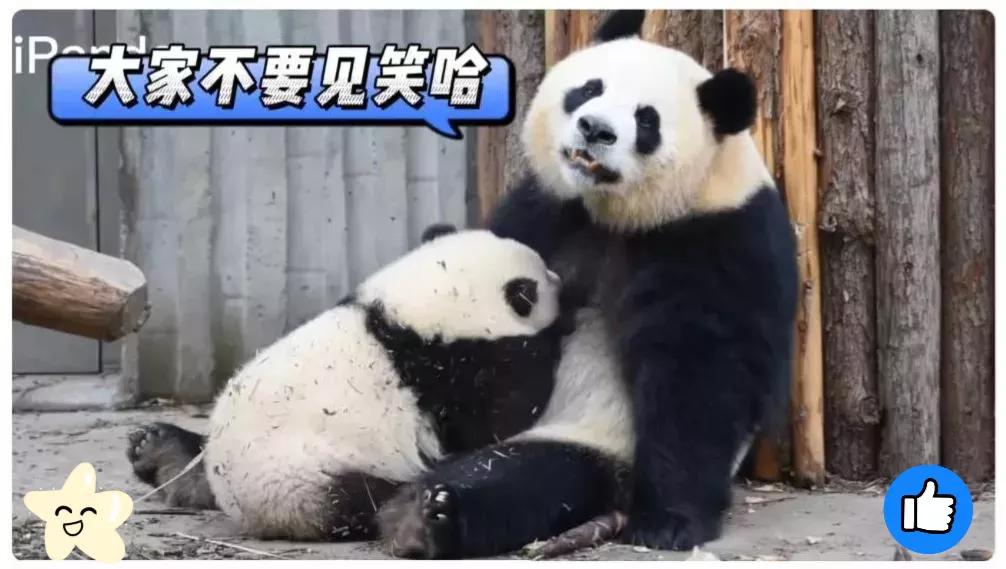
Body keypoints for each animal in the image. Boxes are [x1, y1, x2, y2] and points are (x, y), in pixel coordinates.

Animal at [125, 228, 565, 540]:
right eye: (541, 277)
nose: (559, 278)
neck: (395, 316)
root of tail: (242, 508)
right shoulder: (444, 373)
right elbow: (499, 412)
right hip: (314, 476)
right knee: (371, 499)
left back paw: (163, 455)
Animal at [376, 10, 798, 558]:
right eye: (590, 88)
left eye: (646, 120)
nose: (595, 129)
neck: (613, 212)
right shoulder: (546, 208)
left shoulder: (717, 240)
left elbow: (700, 373)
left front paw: (669, 522)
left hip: (586, 439)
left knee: (527, 481)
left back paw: (433, 516)